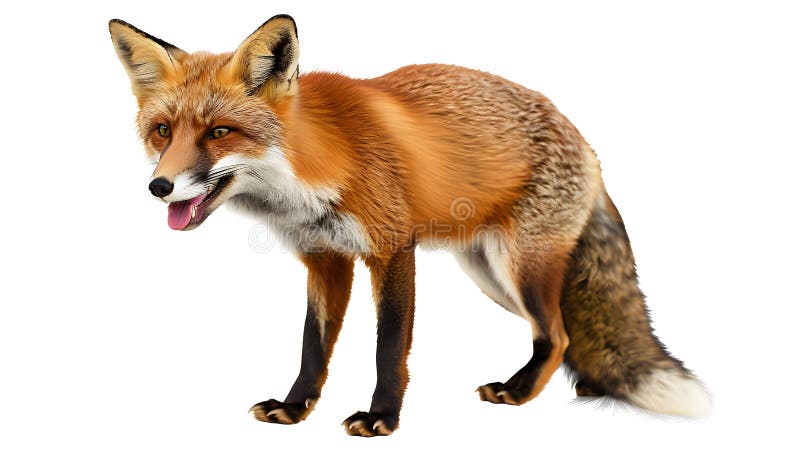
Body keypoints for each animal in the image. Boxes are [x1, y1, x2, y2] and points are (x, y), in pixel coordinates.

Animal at [109, 15, 710, 437]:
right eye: (163, 131)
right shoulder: (325, 258)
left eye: (218, 132)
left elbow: (388, 346)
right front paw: (295, 407)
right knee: (562, 331)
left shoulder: (392, 249)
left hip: (518, 269)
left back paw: (520, 393)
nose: (159, 187)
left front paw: (383, 419)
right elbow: (312, 346)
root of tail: (583, 138)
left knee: (556, 334)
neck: (314, 167)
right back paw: (588, 383)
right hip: (492, 276)